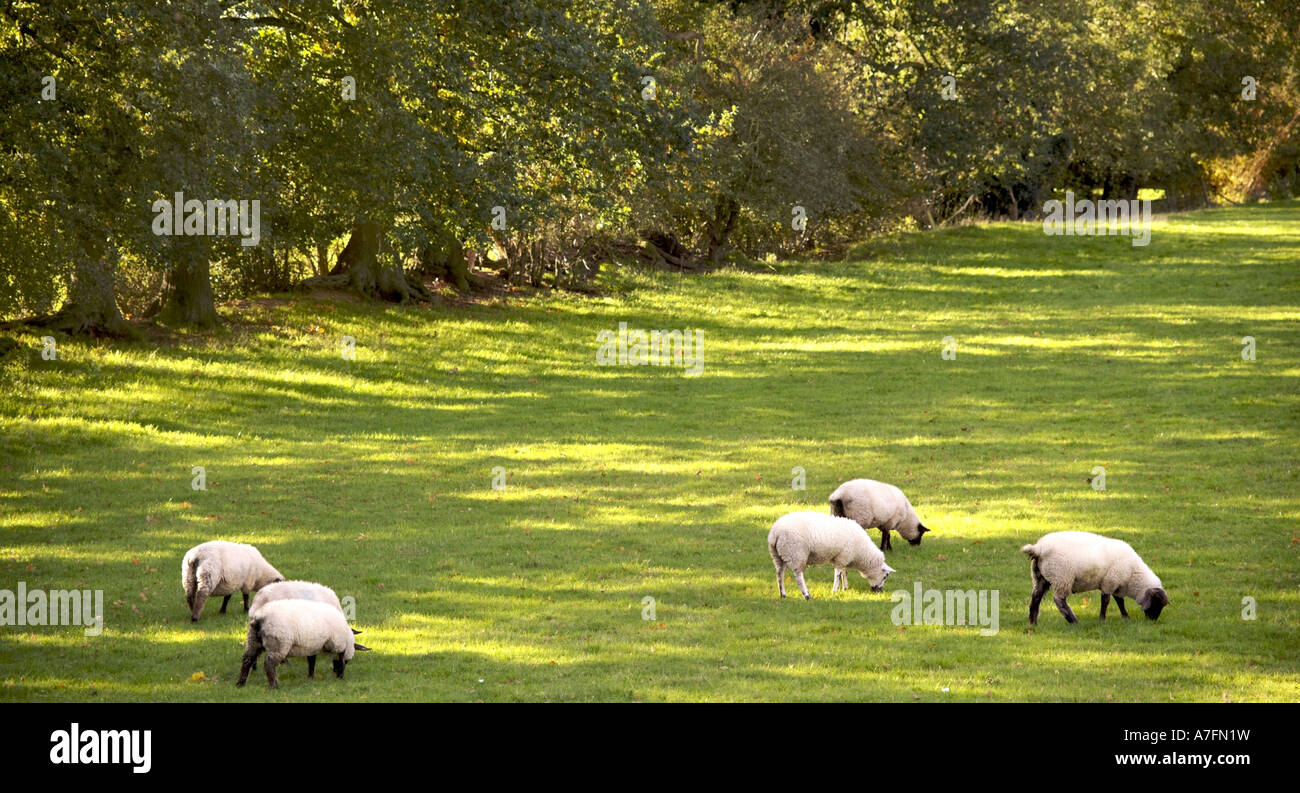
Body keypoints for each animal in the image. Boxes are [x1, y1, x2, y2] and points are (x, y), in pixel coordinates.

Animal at [236, 599, 370, 689]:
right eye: (348, 661)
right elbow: (341, 656)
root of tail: (260, 618)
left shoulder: (313, 645)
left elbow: (312, 661)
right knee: (269, 664)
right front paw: (341, 675)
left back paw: (240, 683)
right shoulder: (338, 642)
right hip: (278, 643)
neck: (347, 637)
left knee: (247, 659)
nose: (336, 672)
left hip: (253, 640)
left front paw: (311, 677)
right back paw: (274, 686)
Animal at [1021, 531, 1170, 625]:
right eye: (1156, 602)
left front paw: (1126, 617)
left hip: (1040, 577)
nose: (1152, 621)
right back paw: (1073, 621)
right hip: (1062, 577)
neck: (1134, 574)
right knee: (1059, 600)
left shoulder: (1117, 584)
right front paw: (1102, 619)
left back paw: (1033, 623)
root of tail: (1039, 548)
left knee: (1035, 598)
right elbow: (1106, 601)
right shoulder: (1110, 581)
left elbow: (1119, 601)